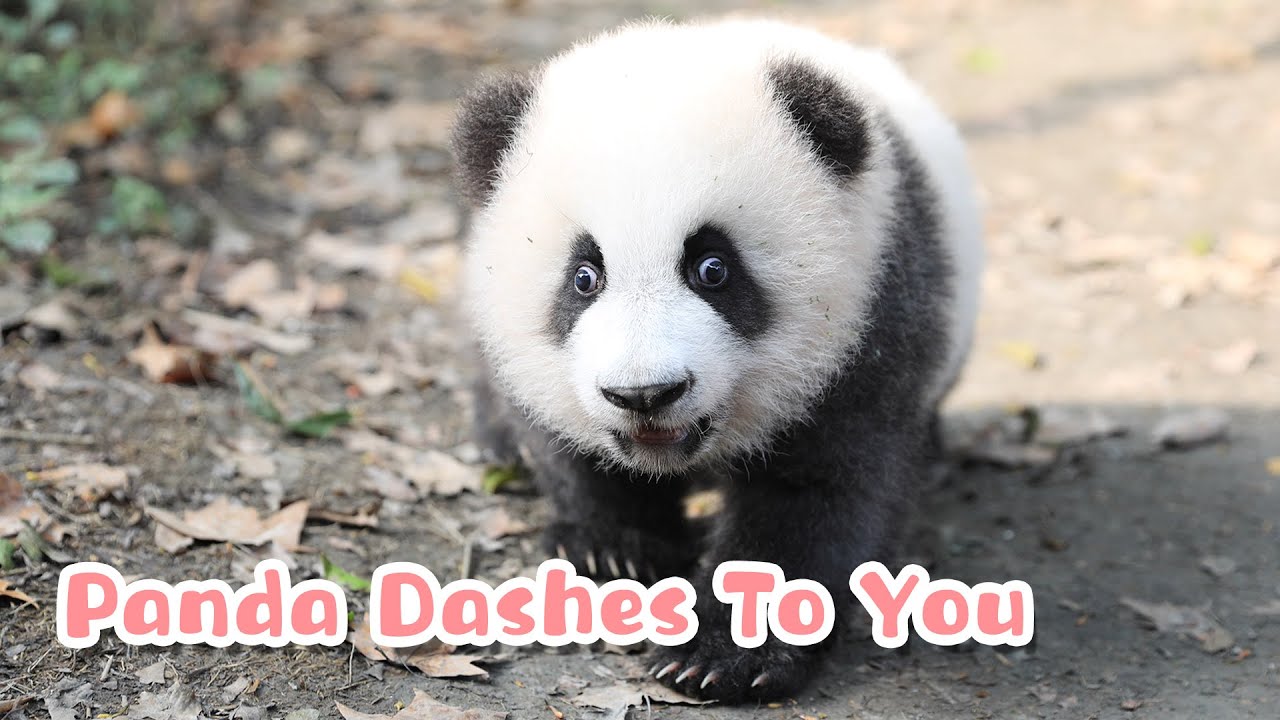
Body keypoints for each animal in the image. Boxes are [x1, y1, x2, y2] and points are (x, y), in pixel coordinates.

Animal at [451, 18, 983, 702]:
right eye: (584, 277)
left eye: (712, 268)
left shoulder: (874, 317)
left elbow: (817, 491)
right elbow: (562, 442)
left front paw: (719, 656)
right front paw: (615, 550)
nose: (646, 395)